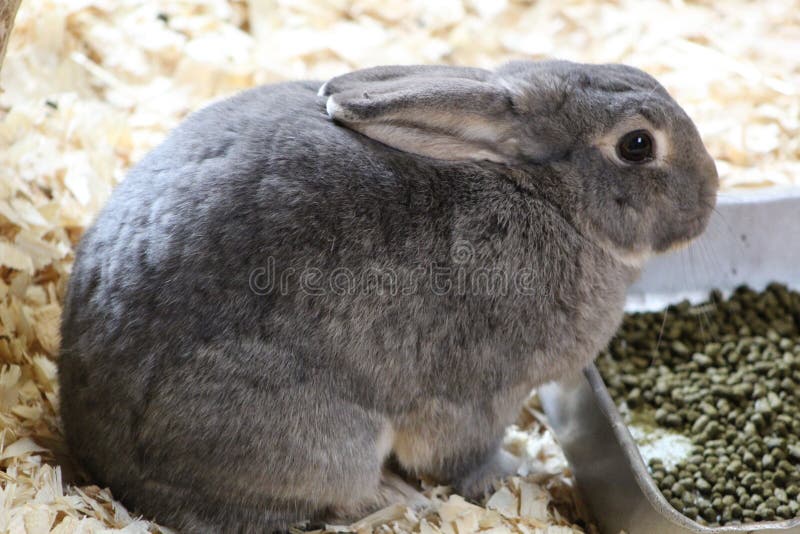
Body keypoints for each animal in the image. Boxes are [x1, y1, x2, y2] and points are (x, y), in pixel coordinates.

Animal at [58, 60, 718, 533]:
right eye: (637, 145)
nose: (711, 196)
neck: (549, 196)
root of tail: (106, 466)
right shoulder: (482, 396)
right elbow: (461, 457)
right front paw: (517, 473)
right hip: (330, 440)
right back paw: (396, 496)